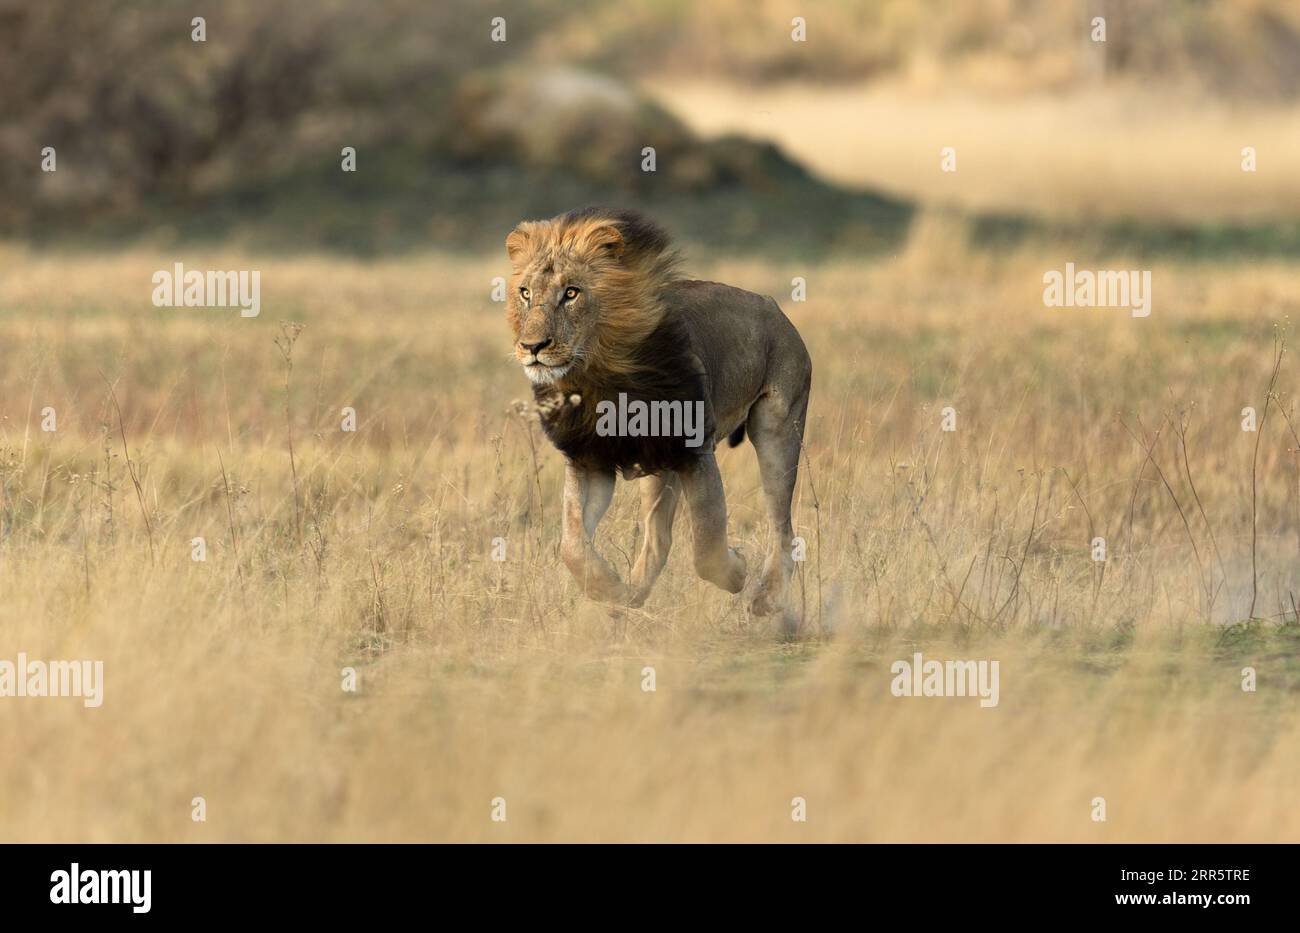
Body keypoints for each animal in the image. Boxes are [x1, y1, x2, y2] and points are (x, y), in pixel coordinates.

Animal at [505, 207, 812, 616]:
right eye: (525, 293)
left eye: (571, 293)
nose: (532, 346)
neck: (600, 376)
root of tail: (773, 306)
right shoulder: (589, 460)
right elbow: (571, 545)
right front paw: (608, 590)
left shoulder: (694, 451)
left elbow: (707, 543)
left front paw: (736, 571)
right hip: (657, 464)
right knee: (657, 538)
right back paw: (630, 597)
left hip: (778, 430)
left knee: (783, 527)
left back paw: (766, 599)